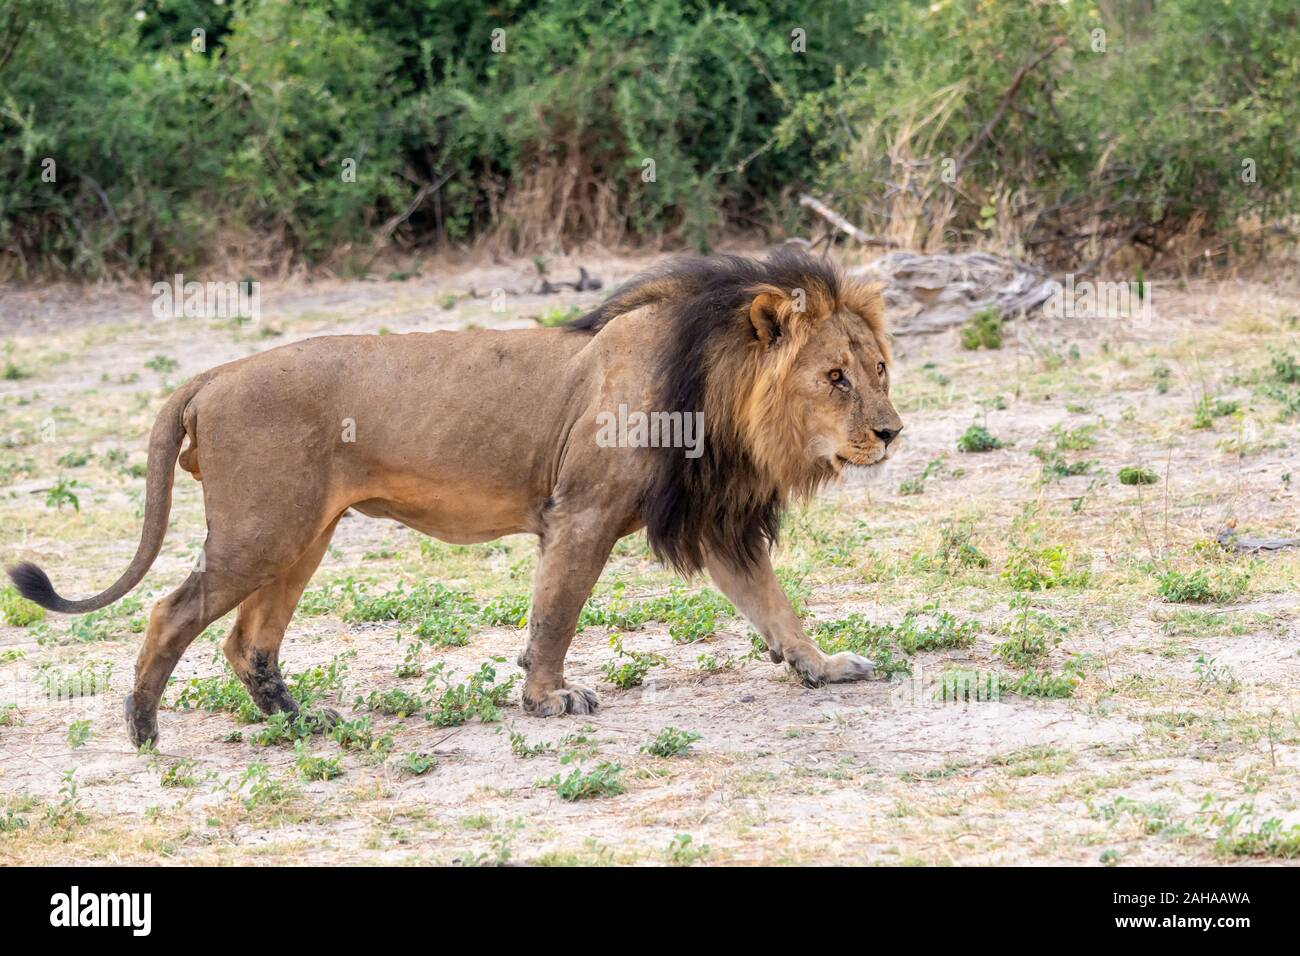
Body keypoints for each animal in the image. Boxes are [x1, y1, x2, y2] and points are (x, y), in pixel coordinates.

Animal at [9, 250, 903, 747]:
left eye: (880, 369)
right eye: (834, 378)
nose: (893, 432)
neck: (715, 390)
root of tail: (213, 372)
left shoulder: (712, 523)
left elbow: (774, 606)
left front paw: (824, 667)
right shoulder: (579, 513)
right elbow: (555, 616)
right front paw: (548, 699)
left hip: (303, 534)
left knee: (246, 640)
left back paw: (299, 720)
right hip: (262, 531)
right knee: (172, 612)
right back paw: (144, 729)